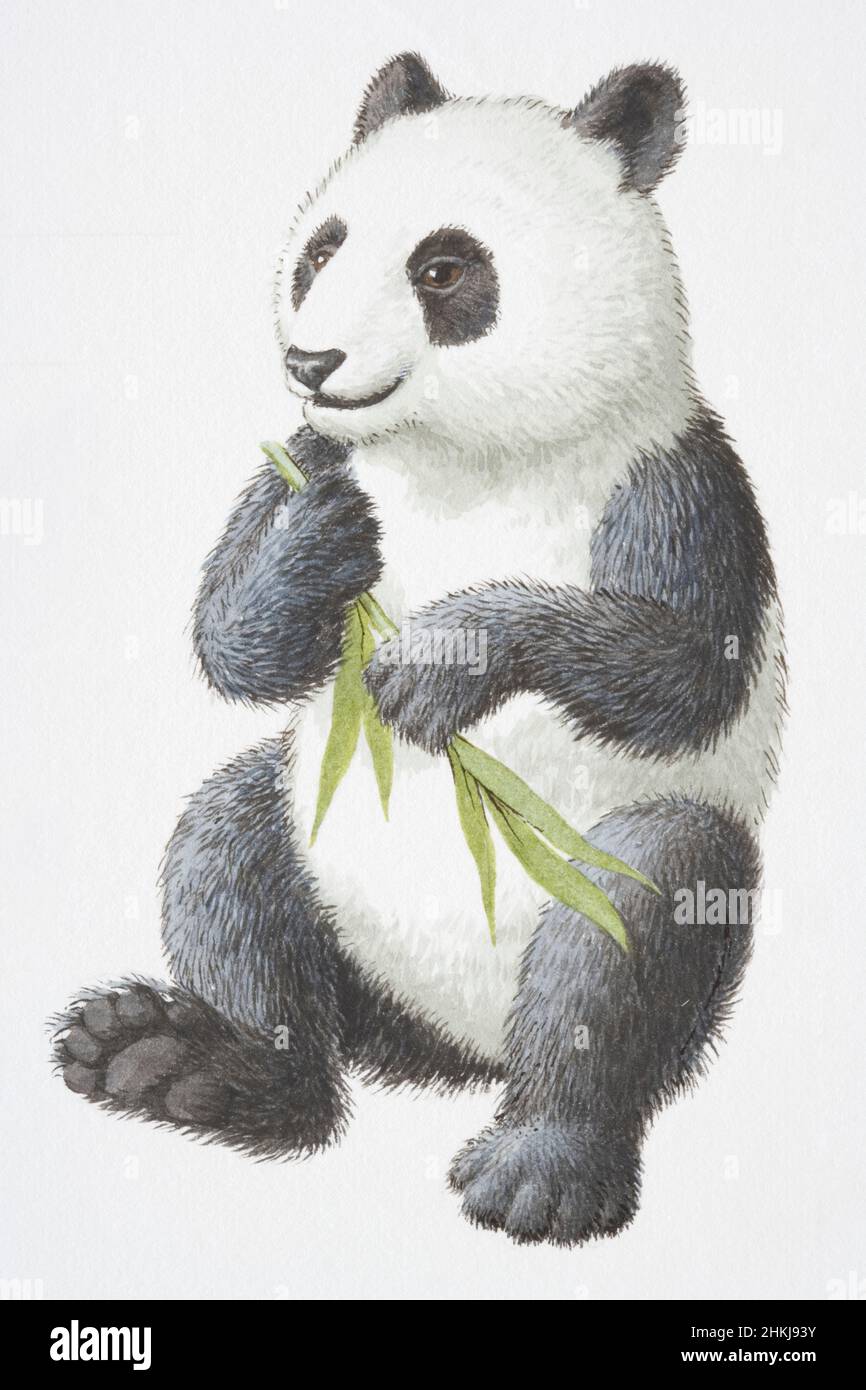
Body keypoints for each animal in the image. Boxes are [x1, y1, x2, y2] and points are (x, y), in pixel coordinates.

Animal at [55, 53, 785, 1247]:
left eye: (444, 269)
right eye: (320, 250)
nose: (312, 358)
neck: (460, 455)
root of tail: (451, 1042)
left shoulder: (670, 474)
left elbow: (685, 667)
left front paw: (440, 663)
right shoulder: (313, 454)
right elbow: (229, 638)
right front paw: (316, 550)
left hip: (601, 870)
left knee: (627, 934)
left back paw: (540, 1169)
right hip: (308, 843)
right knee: (228, 857)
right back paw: (182, 1060)